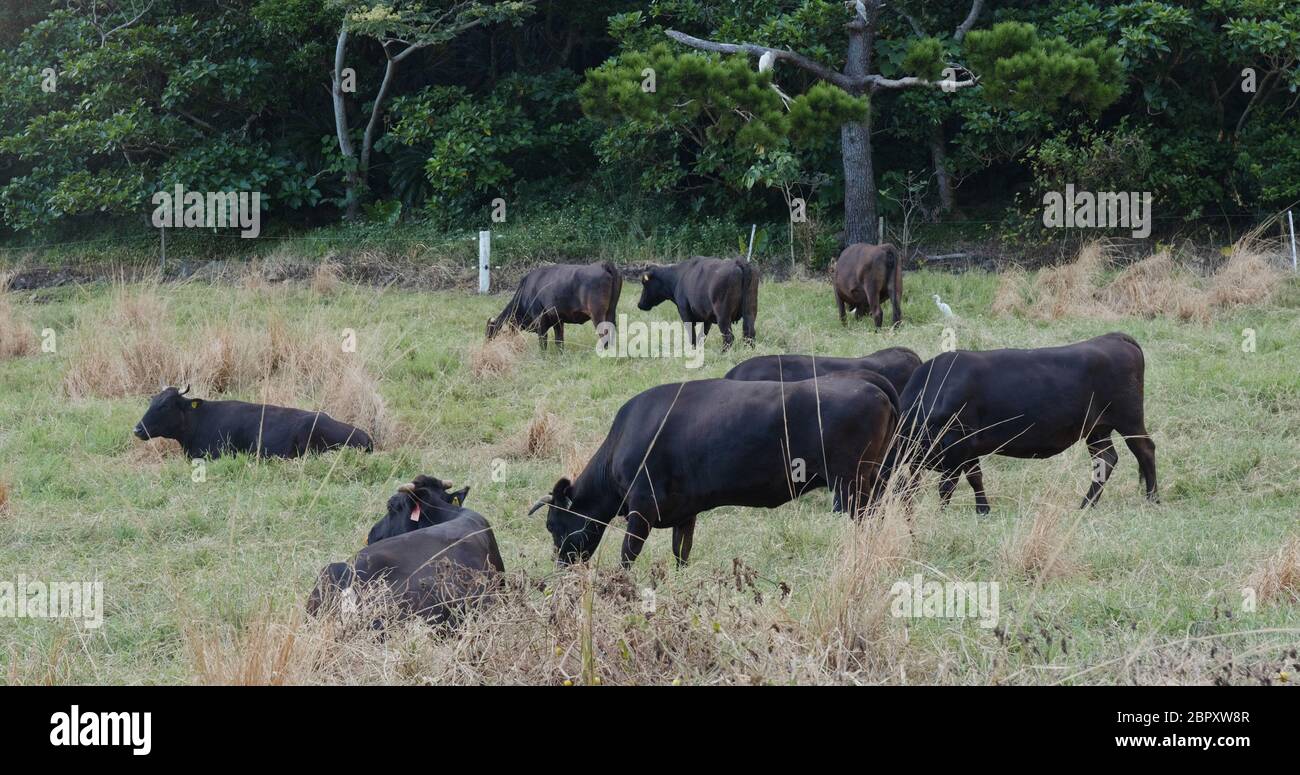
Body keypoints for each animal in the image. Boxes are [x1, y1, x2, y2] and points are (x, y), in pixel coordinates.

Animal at [485, 262, 622, 351]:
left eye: (491, 333)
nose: (486, 348)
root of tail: (602, 264)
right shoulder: (558, 320)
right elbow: (559, 340)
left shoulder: (540, 320)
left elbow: (543, 341)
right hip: (611, 311)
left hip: (597, 314)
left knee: (604, 332)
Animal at [529, 375, 897, 568]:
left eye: (552, 525)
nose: (560, 565)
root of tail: (868, 384)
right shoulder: (684, 511)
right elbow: (681, 552)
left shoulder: (641, 509)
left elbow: (627, 555)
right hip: (871, 478)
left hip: (851, 483)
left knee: (867, 519)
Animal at [893, 333, 1158, 514]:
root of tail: (1113, 337)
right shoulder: (967, 449)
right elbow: (975, 477)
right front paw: (983, 510)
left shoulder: (957, 445)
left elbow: (947, 485)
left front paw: (943, 513)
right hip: (1097, 429)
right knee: (1106, 459)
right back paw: (1086, 504)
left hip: (1129, 420)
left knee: (1145, 450)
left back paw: (1153, 498)